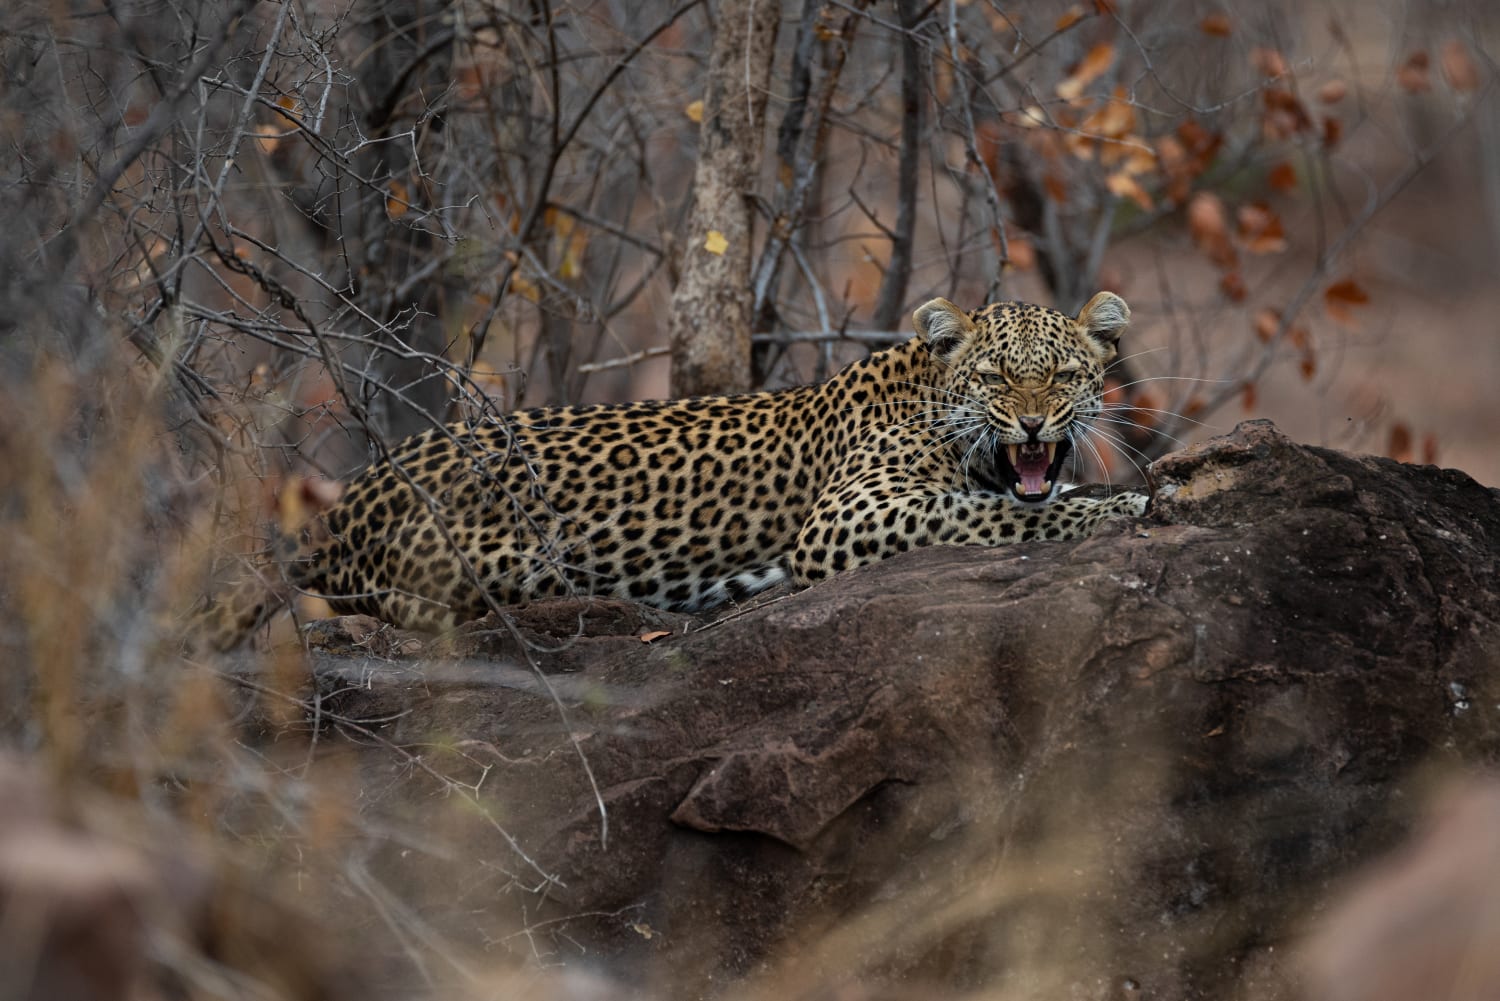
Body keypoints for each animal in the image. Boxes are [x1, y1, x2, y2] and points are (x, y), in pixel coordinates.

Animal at [199, 291, 1150, 649]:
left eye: (1066, 374)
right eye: (996, 378)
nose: (1033, 421)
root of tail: (345, 501)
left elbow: (1025, 498)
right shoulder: (847, 515)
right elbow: (1003, 514)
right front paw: (1118, 509)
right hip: (516, 558)